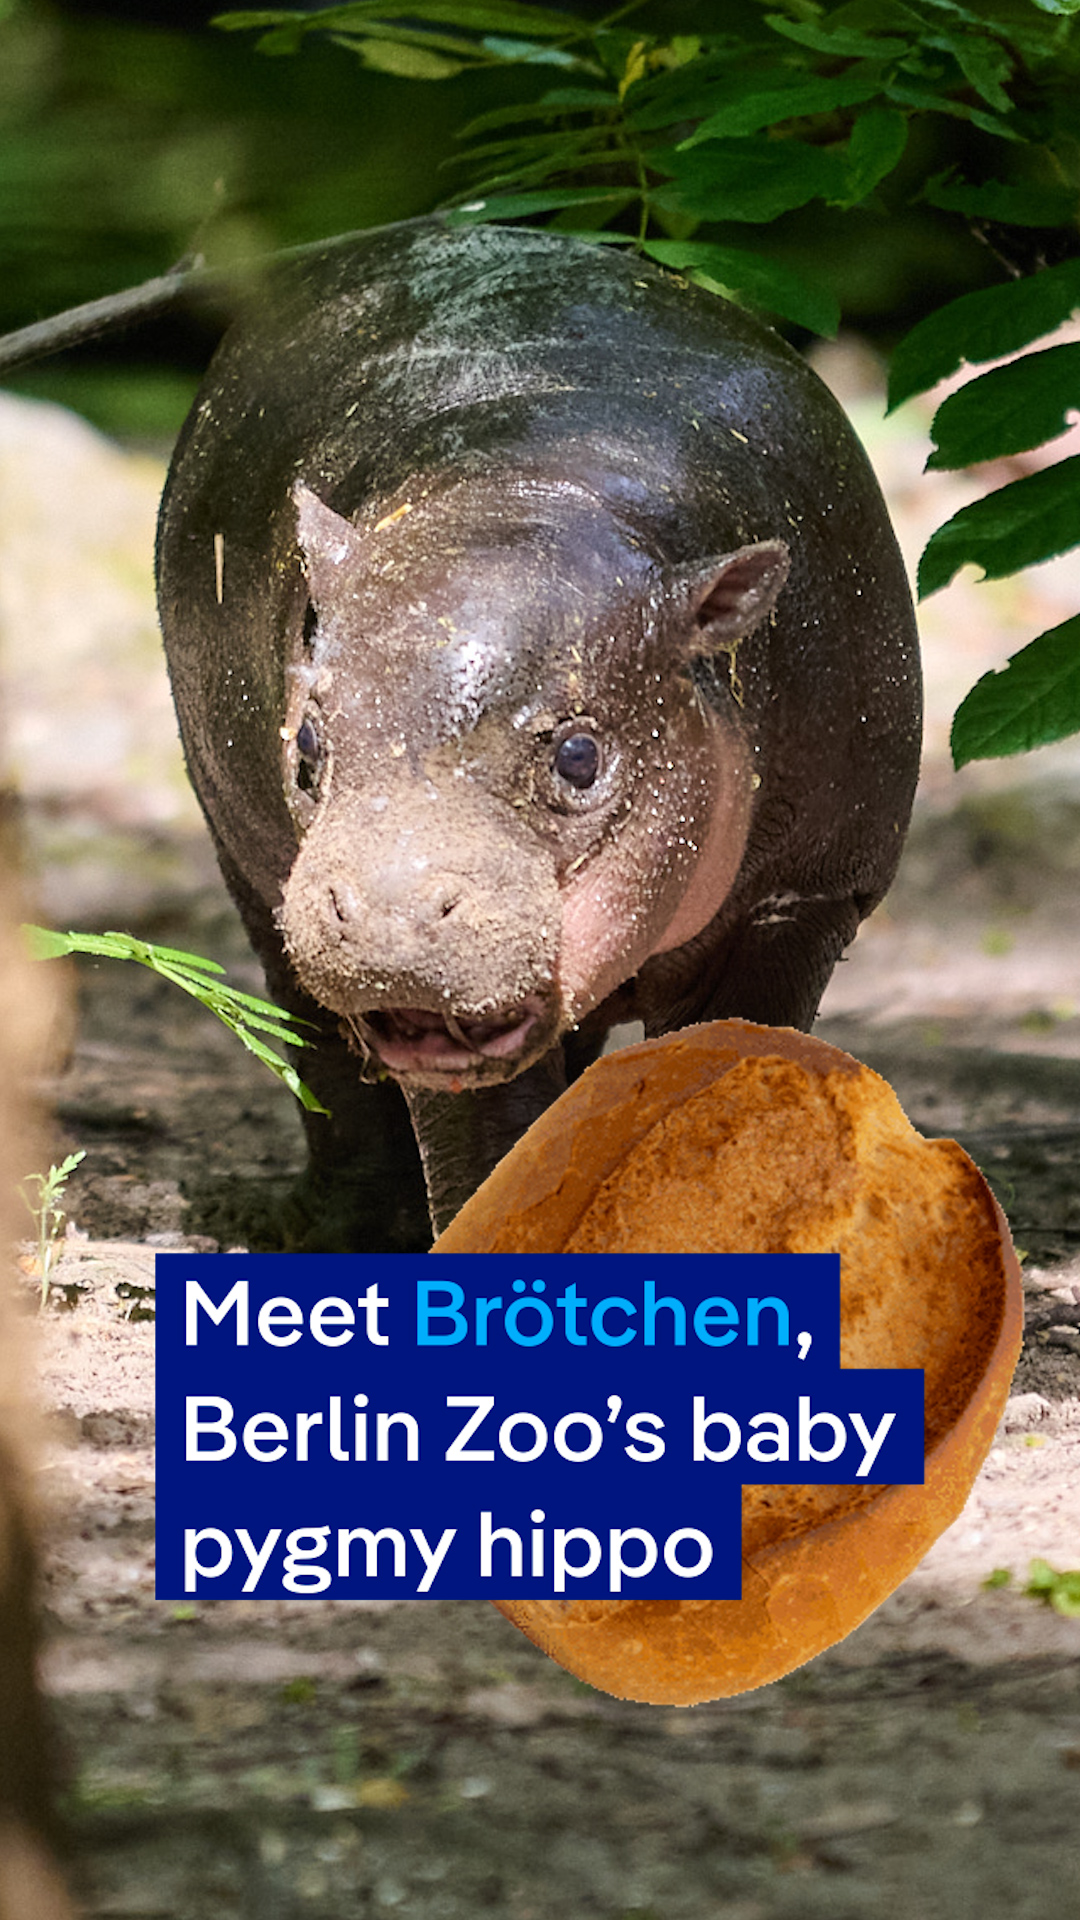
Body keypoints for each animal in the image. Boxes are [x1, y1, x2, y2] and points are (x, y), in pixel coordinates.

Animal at [156, 219, 921, 1245]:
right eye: (308, 745)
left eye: (578, 755)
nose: (389, 911)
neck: (529, 498)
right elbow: (483, 1139)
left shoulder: (807, 897)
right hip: (252, 872)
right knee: (327, 1064)